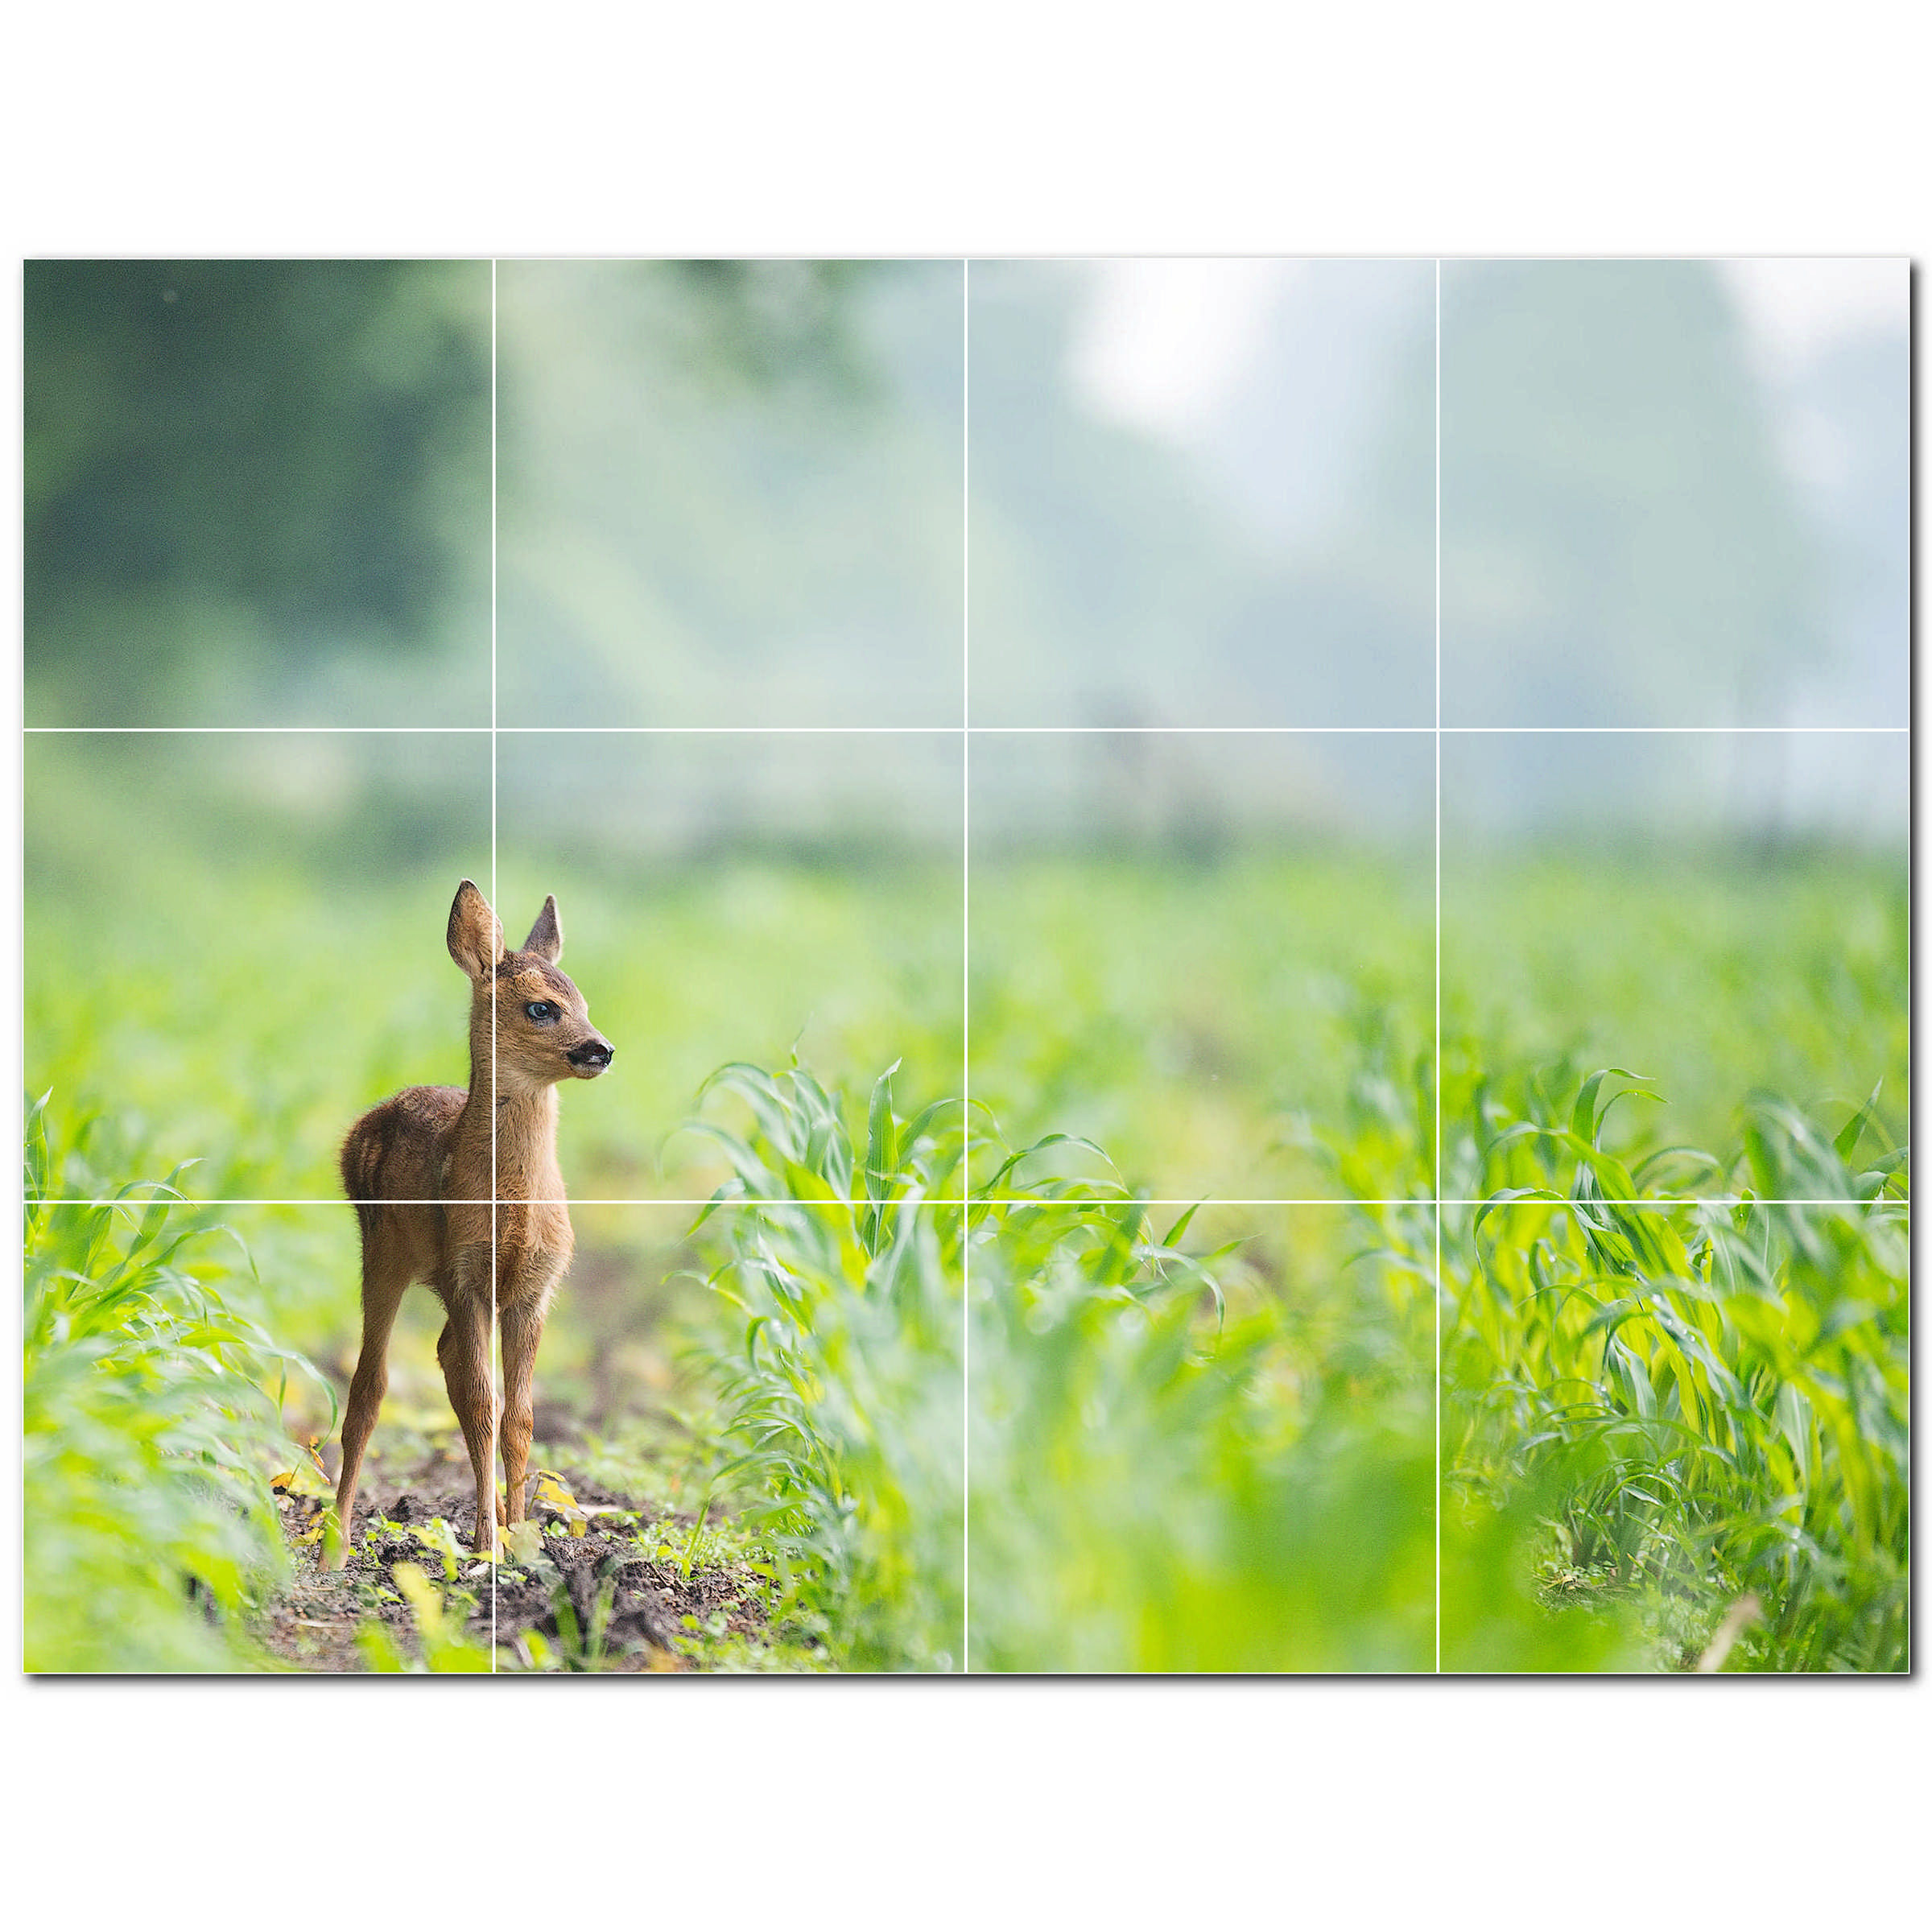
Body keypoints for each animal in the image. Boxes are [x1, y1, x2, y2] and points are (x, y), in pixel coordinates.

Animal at [328, 879, 614, 1568]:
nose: (601, 1048)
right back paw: (334, 1547)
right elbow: (485, 1405)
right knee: (369, 1389)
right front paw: (489, 1546)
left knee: (444, 1362)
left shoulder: (535, 1288)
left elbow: (520, 1416)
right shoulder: (466, 1274)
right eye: (541, 1008)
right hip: (381, 1252)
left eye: (583, 1001)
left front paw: (523, 1539)